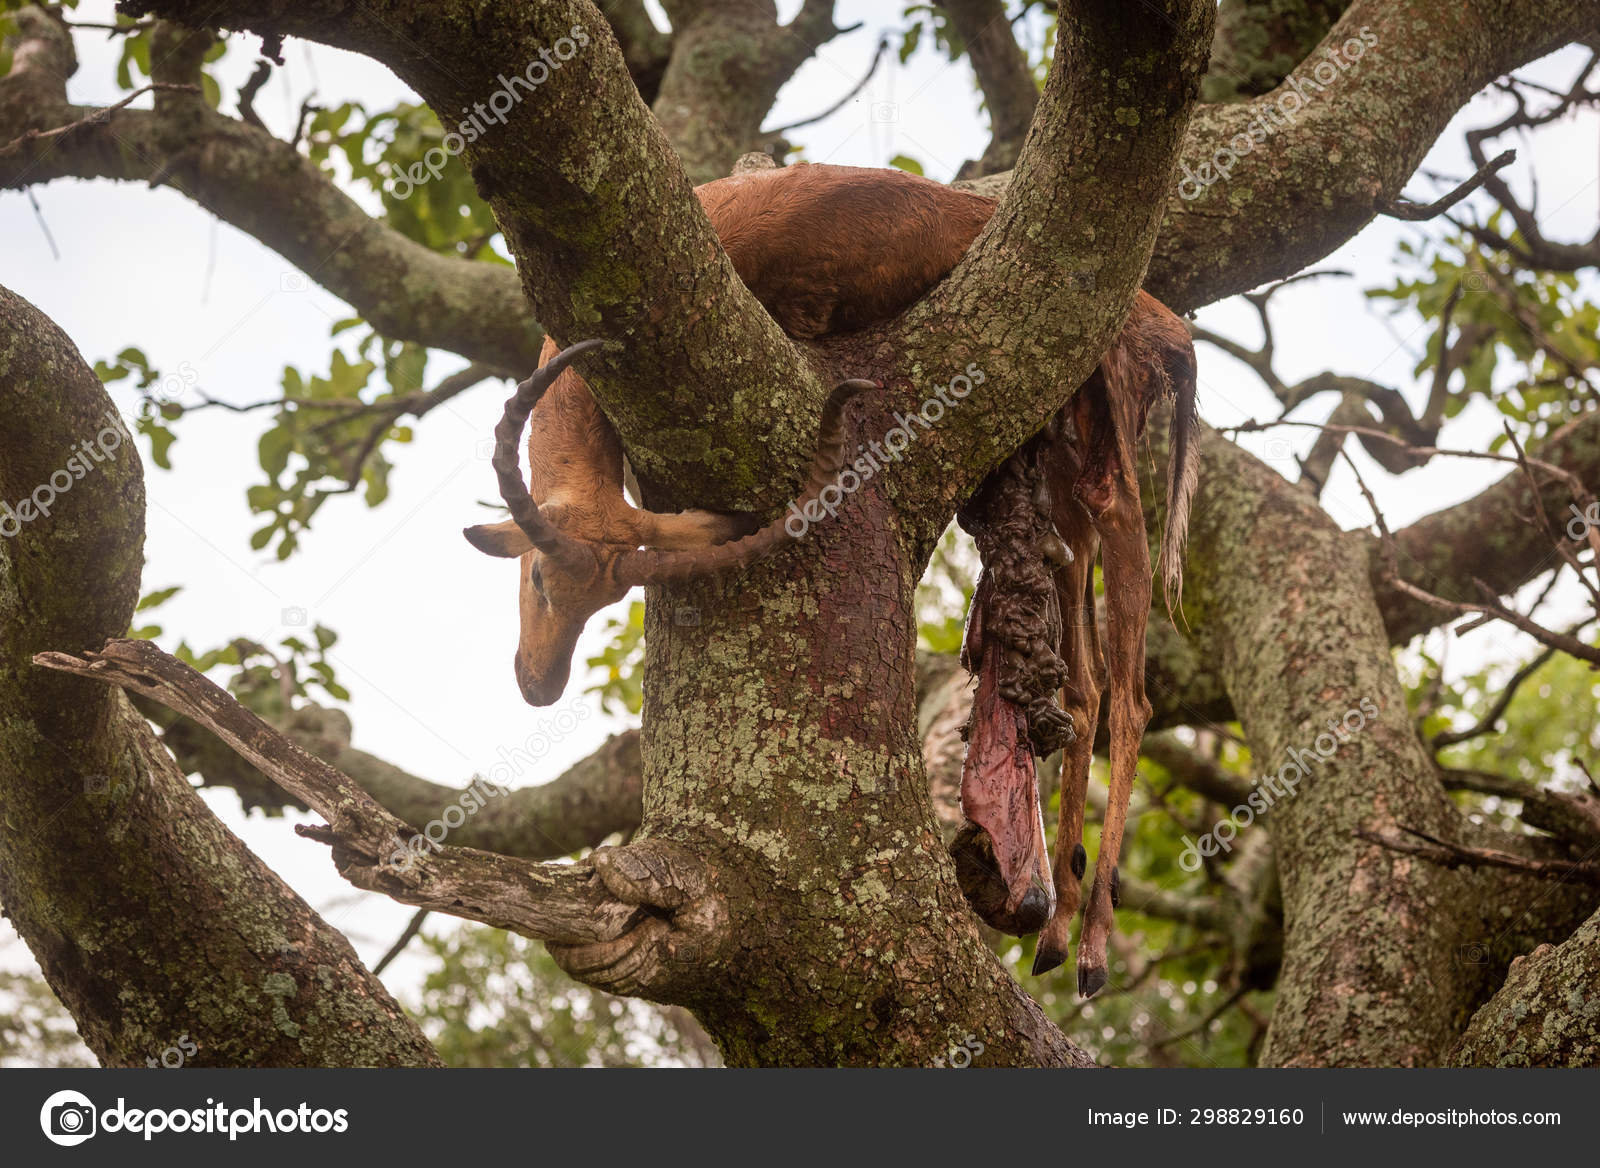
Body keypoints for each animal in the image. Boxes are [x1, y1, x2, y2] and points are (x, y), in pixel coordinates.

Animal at [465, 161, 1198, 996]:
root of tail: (1167, 329)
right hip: (1068, 483)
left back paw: (1091, 950)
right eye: (546, 583)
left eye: (580, 591)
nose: (539, 685)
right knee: (1084, 684)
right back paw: (1054, 924)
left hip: (1108, 467)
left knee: (1131, 693)